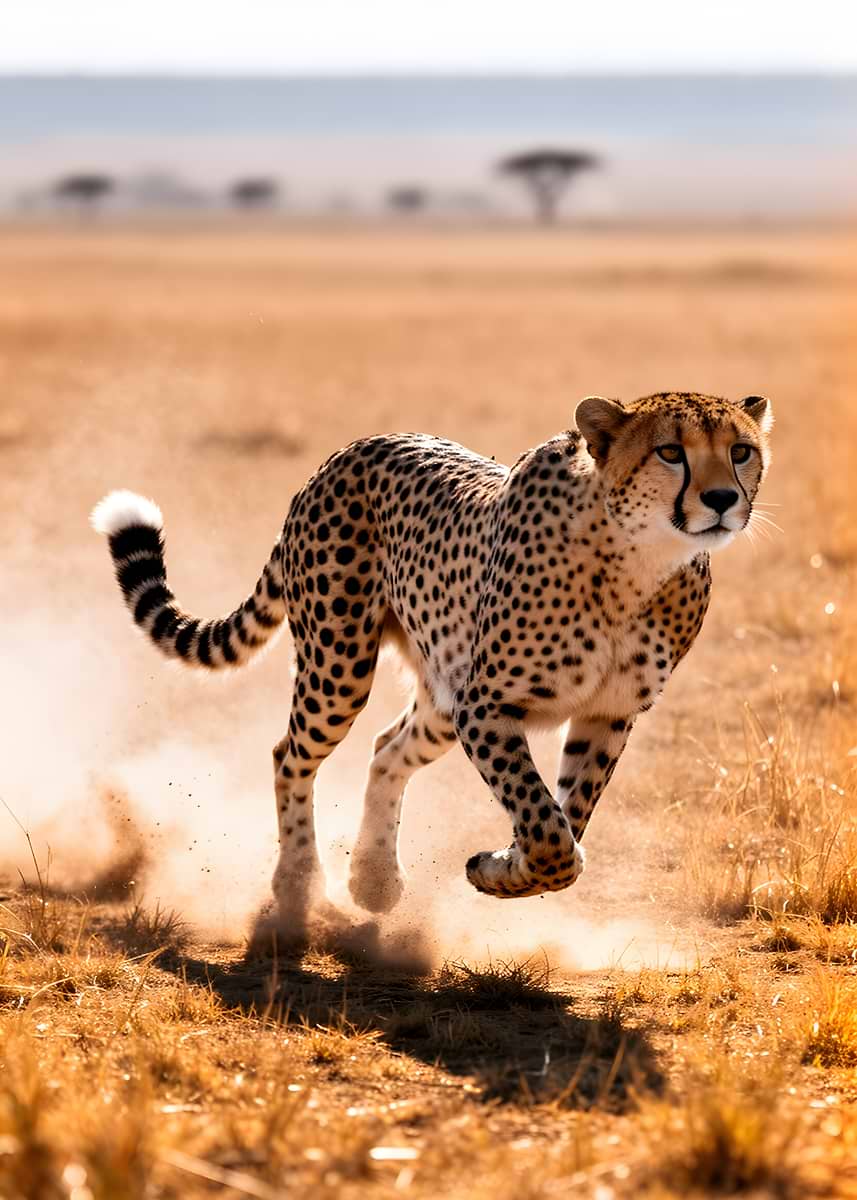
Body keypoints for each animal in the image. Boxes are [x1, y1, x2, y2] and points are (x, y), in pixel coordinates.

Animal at [92, 391, 773, 926]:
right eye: (671, 452)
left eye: (741, 451)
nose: (721, 499)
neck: (638, 562)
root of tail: (347, 451)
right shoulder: (487, 704)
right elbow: (547, 825)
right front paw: (512, 860)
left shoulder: (606, 714)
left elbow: (568, 816)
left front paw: (502, 867)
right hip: (341, 667)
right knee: (290, 754)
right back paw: (298, 882)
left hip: (441, 691)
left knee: (386, 748)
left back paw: (373, 881)